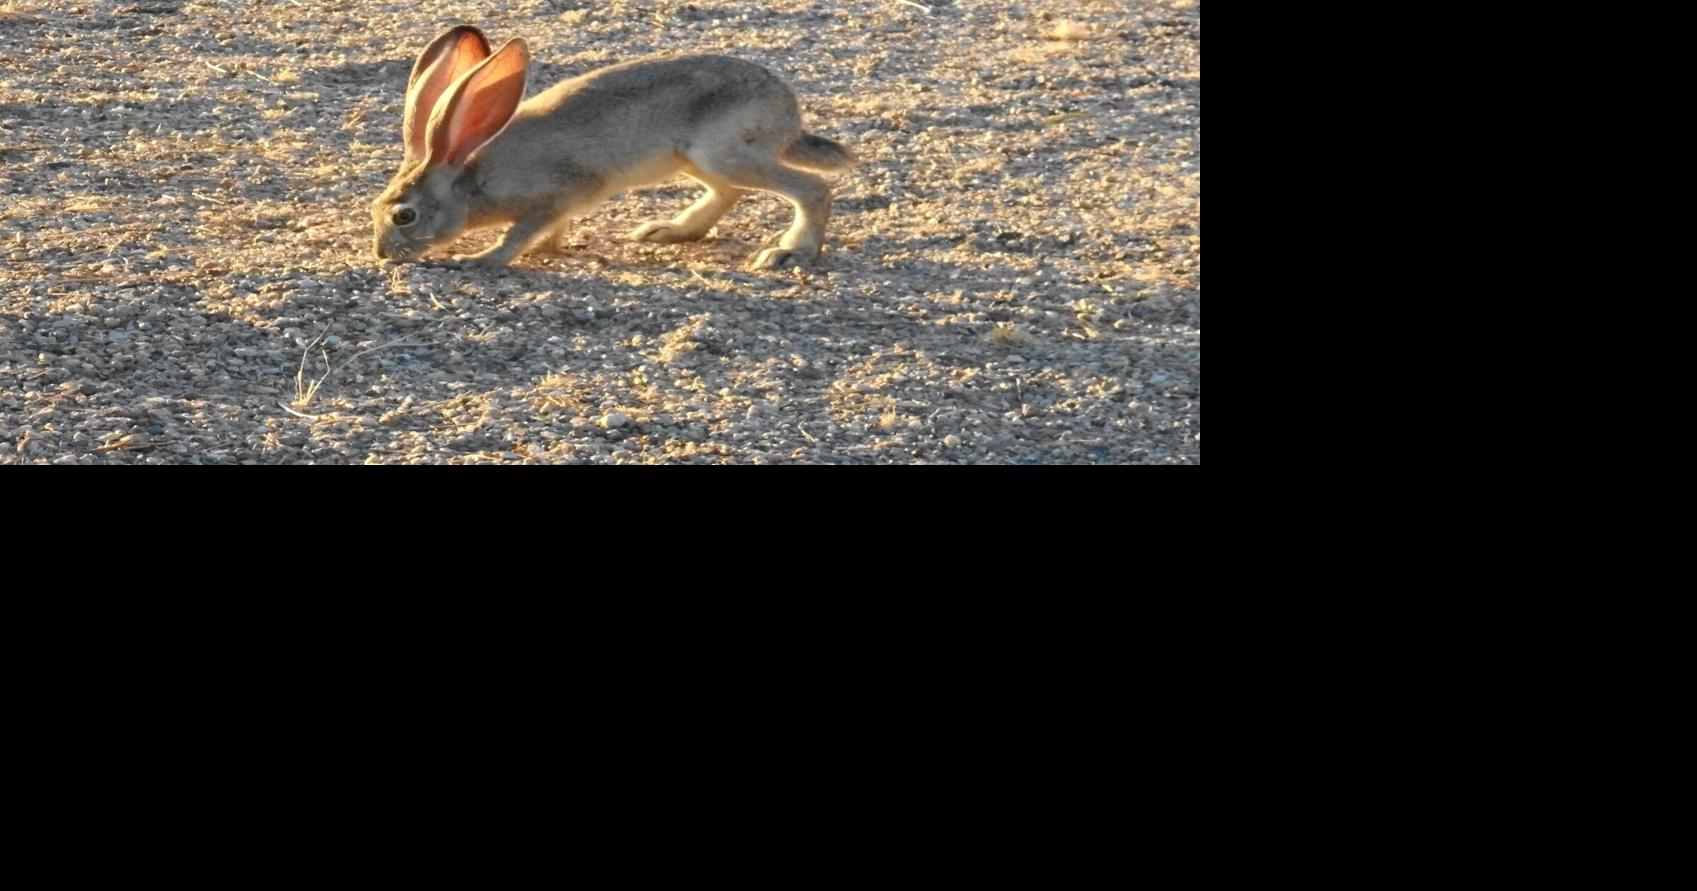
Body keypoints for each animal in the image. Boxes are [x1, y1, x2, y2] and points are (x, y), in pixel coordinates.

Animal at [370, 25, 855, 271]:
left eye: (404, 215)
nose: (381, 253)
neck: (469, 180)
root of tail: (789, 116)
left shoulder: (554, 196)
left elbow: (518, 236)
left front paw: (479, 259)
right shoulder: (560, 205)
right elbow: (552, 232)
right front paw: (550, 250)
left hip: (724, 154)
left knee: (812, 189)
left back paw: (791, 252)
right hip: (692, 159)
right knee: (727, 193)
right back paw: (668, 232)